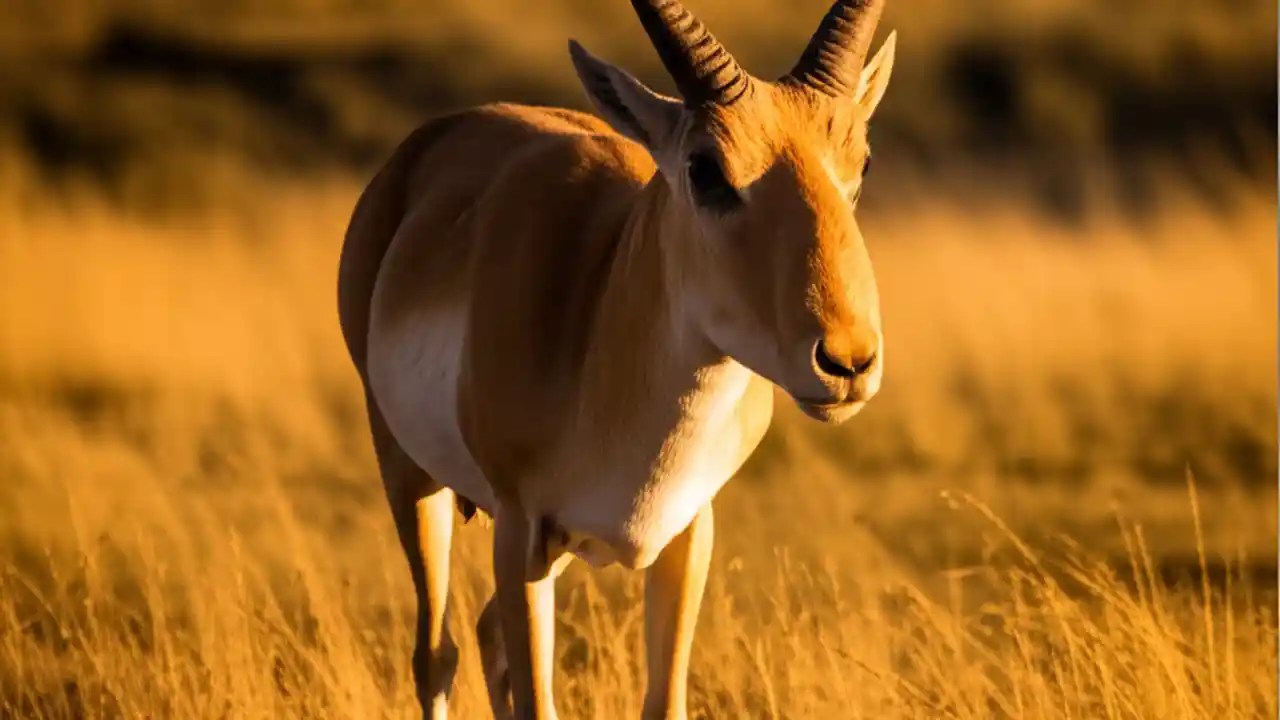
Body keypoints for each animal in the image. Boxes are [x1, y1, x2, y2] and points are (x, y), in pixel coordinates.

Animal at [337, 0, 896, 716]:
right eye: (704, 168)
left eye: (862, 162)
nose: (847, 362)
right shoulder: (520, 532)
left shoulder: (687, 532)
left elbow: (664, 700)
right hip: (409, 474)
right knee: (435, 653)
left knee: (484, 633)